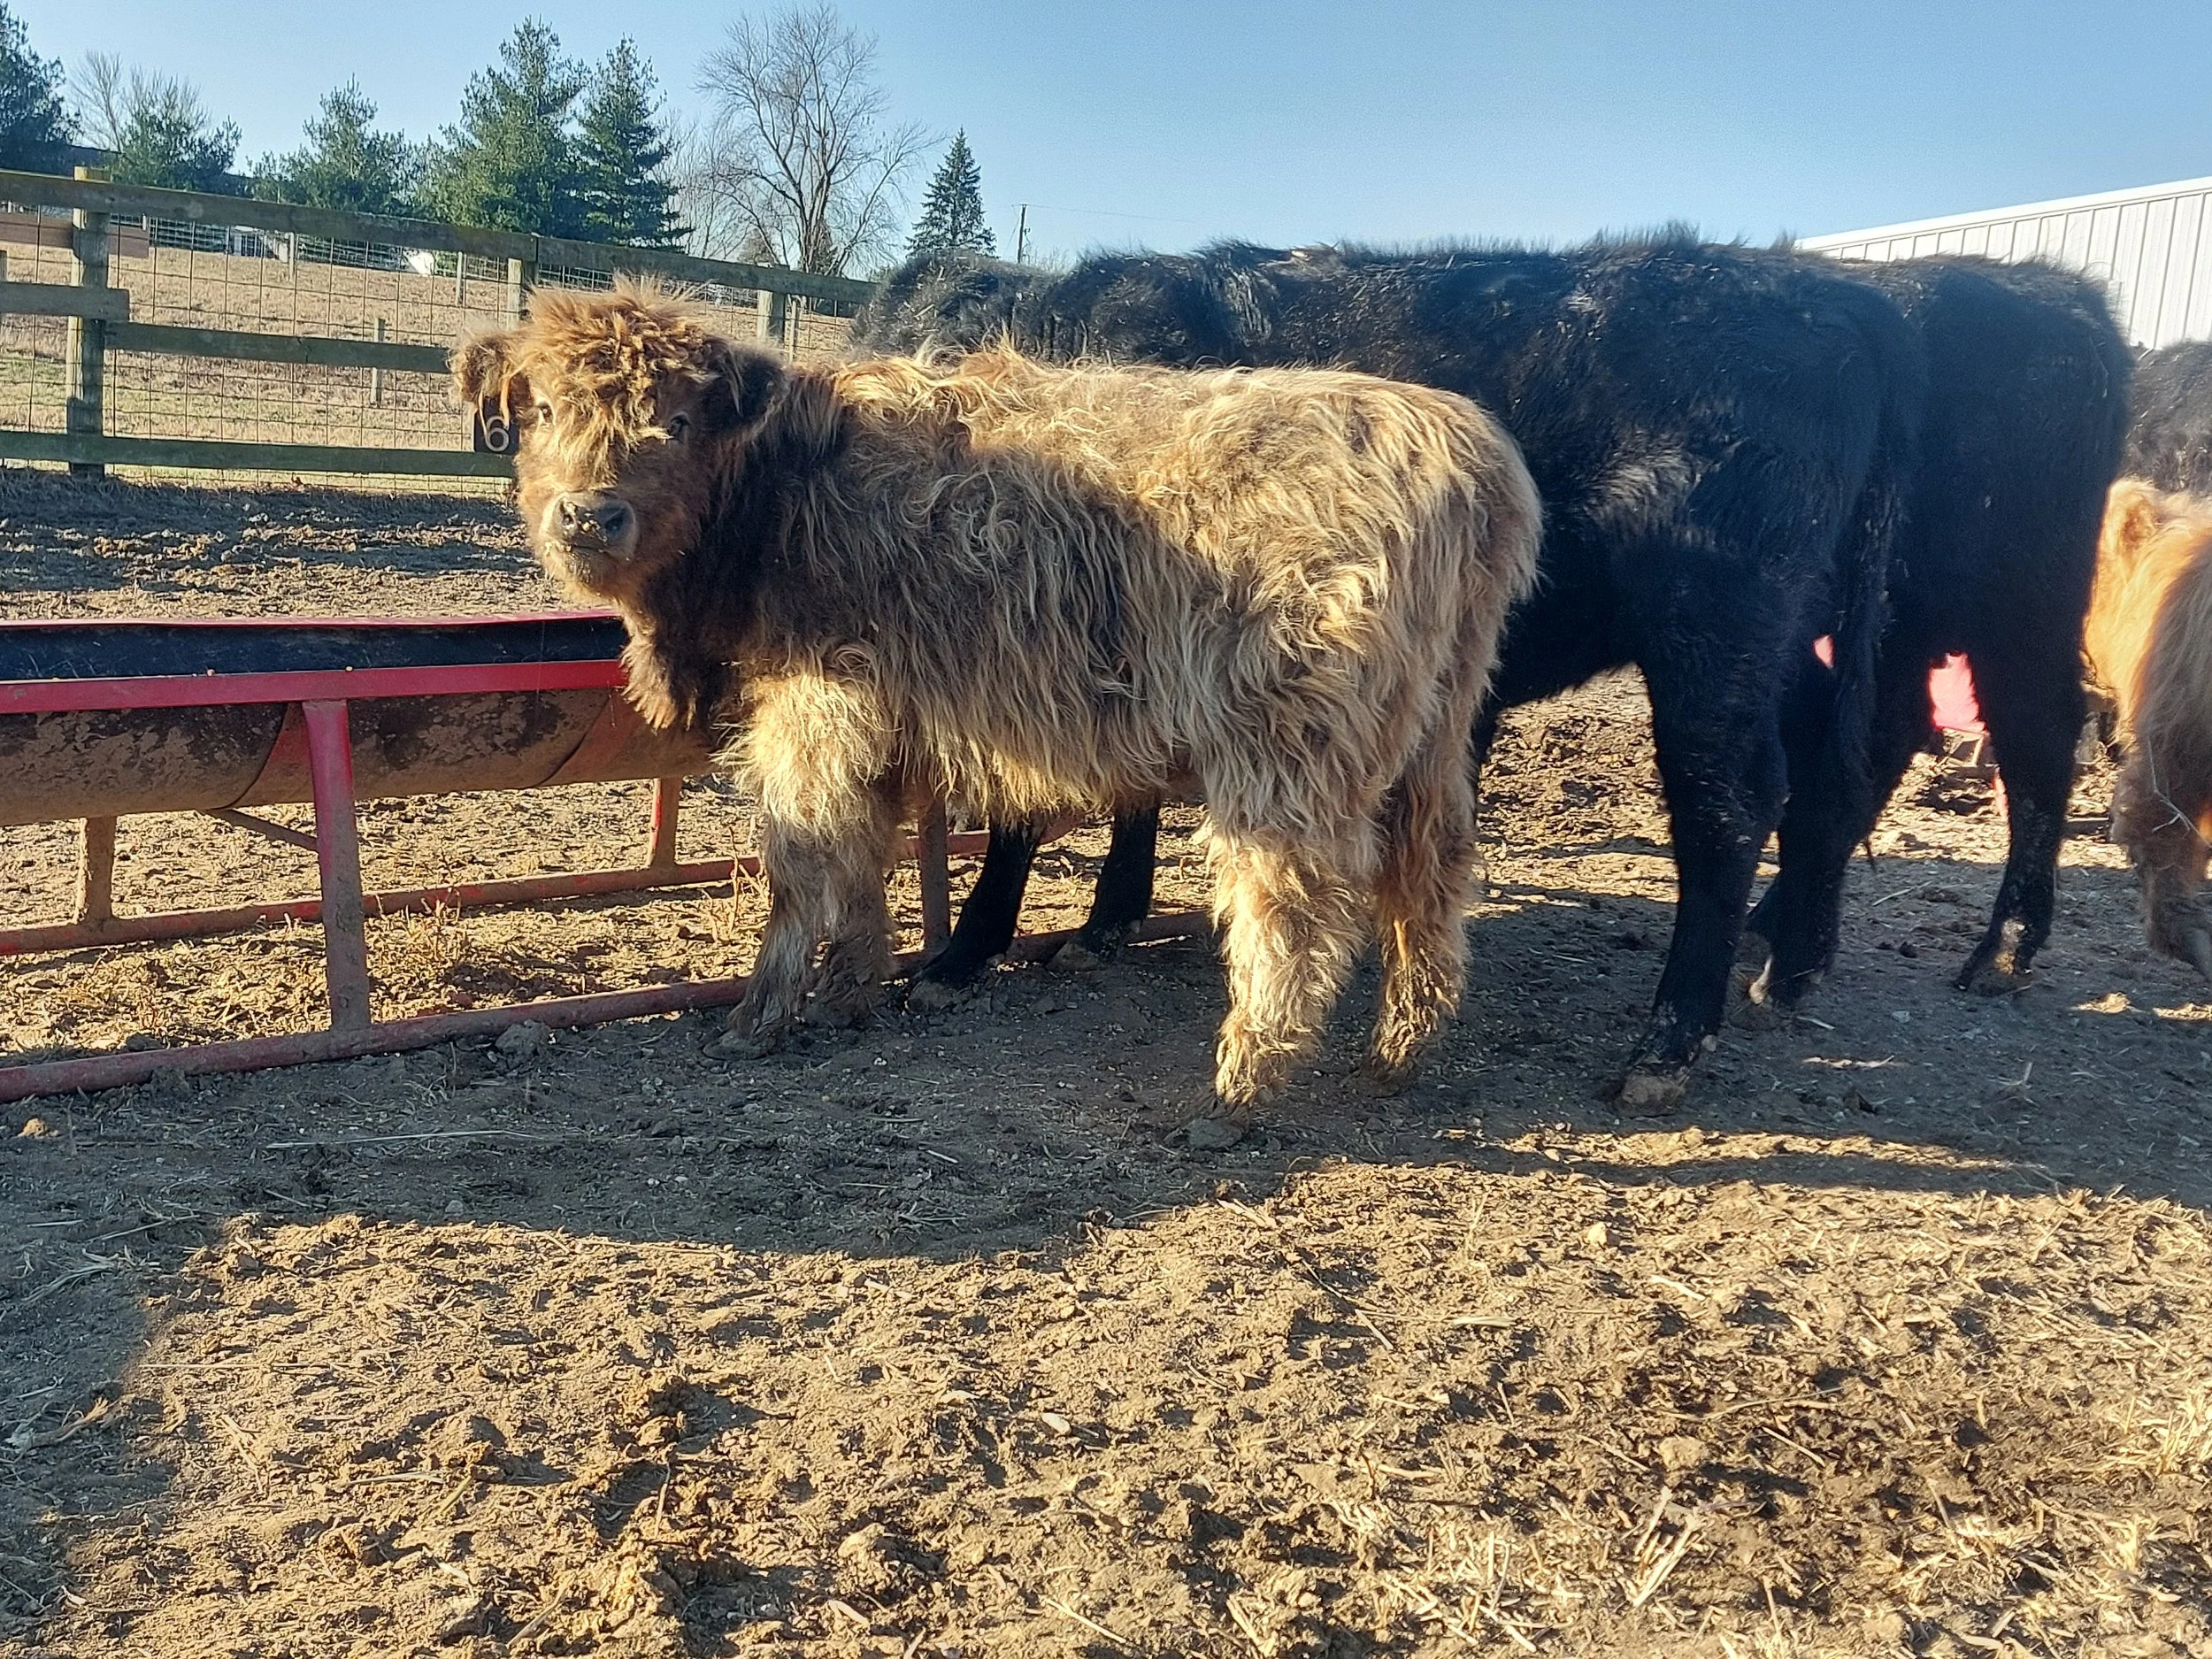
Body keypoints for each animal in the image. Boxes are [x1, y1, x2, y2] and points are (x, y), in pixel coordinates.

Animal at [452, 283, 1542, 1134]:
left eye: (673, 422)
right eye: (538, 411)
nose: (590, 515)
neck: (781, 497)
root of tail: (1459, 444)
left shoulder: (816, 709)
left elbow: (801, 862)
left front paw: (762, 1015)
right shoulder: (880, 719)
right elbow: (865, 859)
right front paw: (853, 988)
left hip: (1288, 750)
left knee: (1294, 898)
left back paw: (1243, 1084)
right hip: (1437, 736)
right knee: (1431, 875)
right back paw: (1399, 1047)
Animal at [857, 235, 1924, 1112]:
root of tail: (1829, 297)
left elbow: (1023, 808)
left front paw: (965, 952)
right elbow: (1127, 794)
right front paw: (1105, 920)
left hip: (1714, 632)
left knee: (1731, 805)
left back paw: (1667, 1042)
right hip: (1813, 648)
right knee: (1832, 784)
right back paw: (1785, 968)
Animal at [1744, 257, 2132, 1006]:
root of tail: (2059, 292)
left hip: (2017, 605)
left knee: (2036, 731)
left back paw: (2000, 953)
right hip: (1899, 618)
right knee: (1890, 728)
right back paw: (1784, 925)